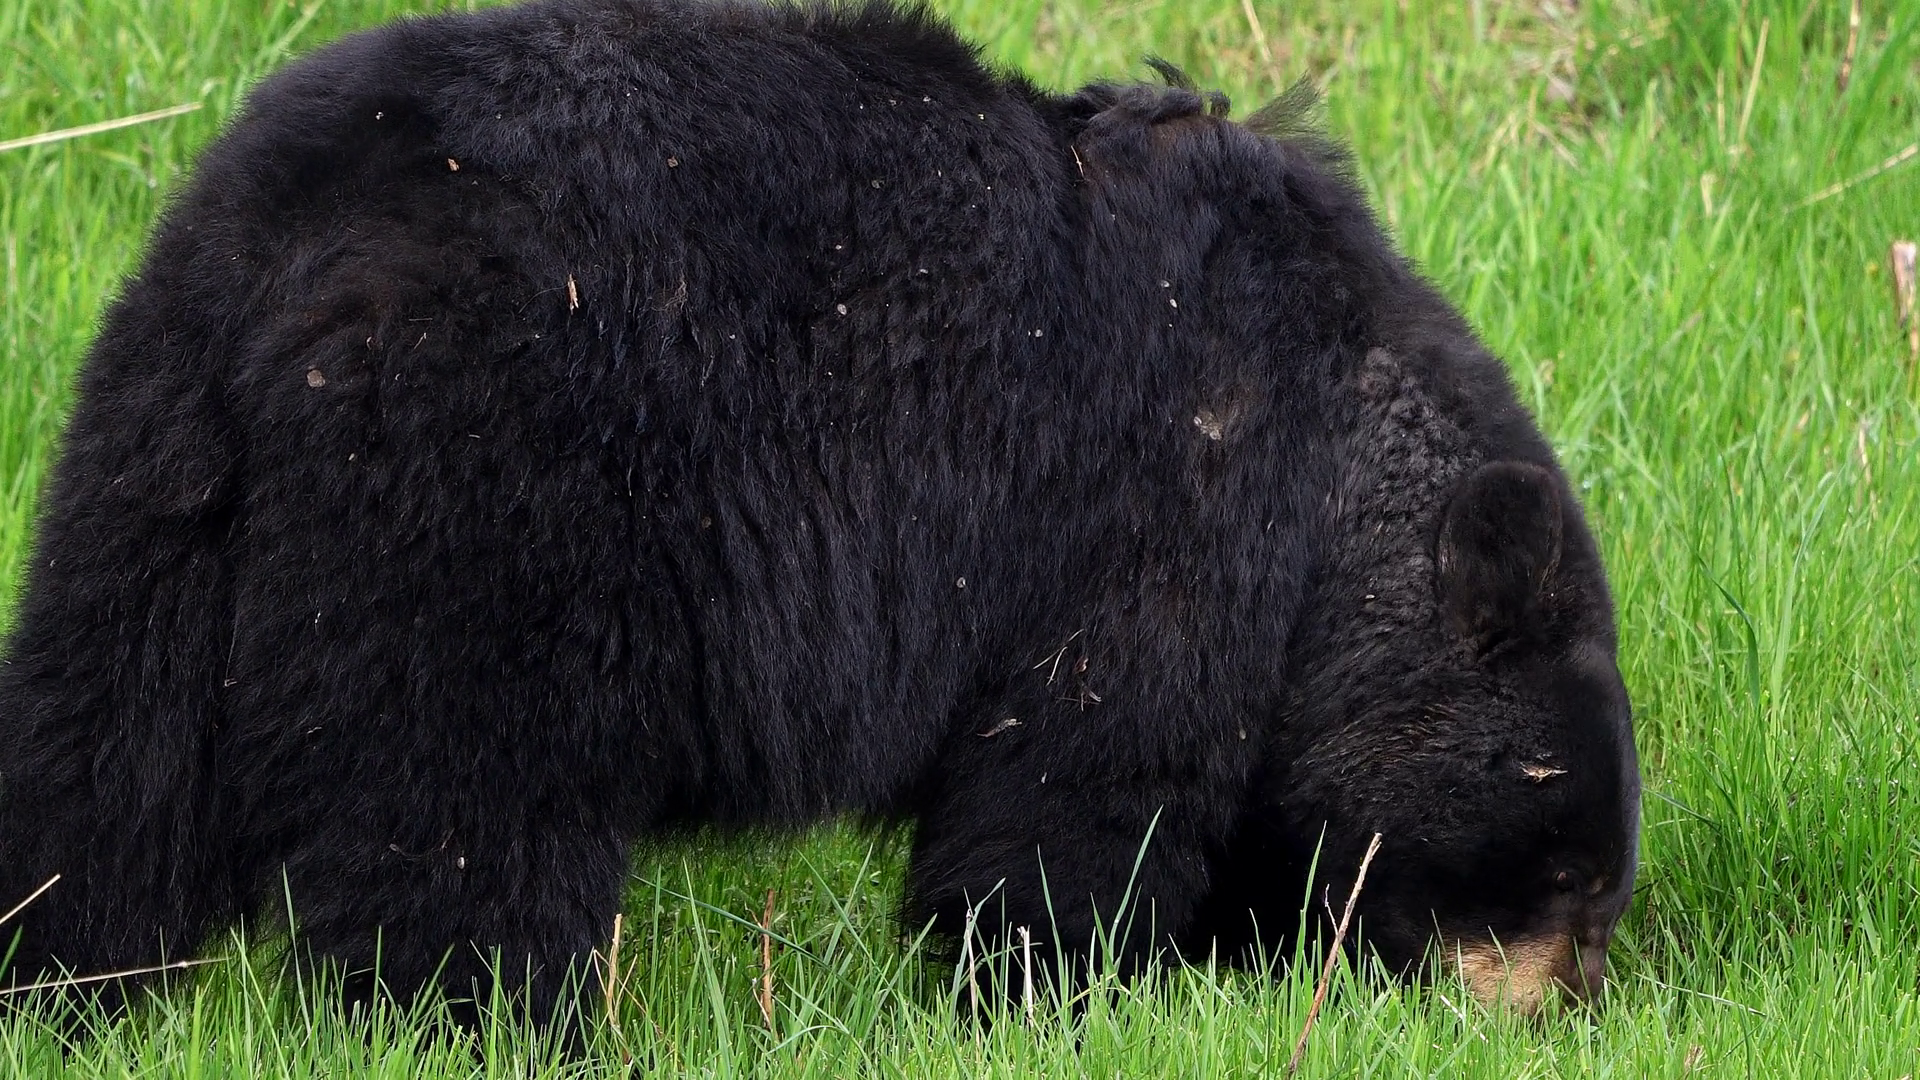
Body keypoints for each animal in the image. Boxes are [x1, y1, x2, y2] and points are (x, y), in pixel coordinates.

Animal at [0, 0, 1639, 1026]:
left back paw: (66, 993)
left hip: (154, 474)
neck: (1335, 450)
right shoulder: (1166, 497)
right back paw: (500, 1023)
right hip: (477, 496)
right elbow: (1080, 783)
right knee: (461, 829)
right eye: (1564, 864)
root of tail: (274, 257)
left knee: (102, 765)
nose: (1550, 1014)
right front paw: (1046, 993)